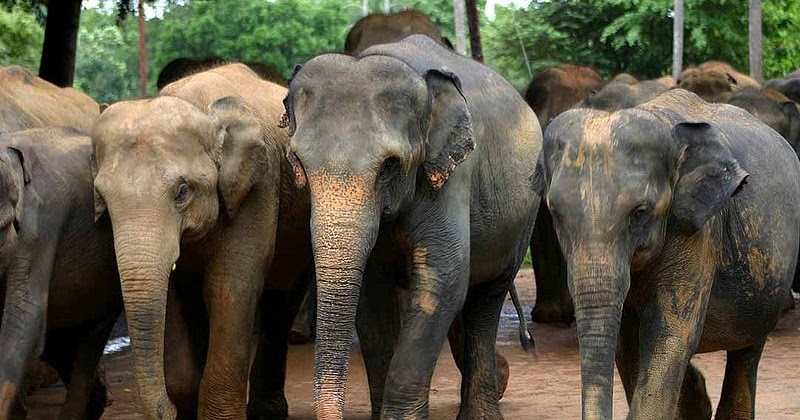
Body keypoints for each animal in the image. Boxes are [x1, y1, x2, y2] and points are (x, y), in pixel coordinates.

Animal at [91, 63, 312, 419]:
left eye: (182, 191)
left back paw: (268, 412)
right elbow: (174, 293)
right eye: (102, 198)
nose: (165, 412)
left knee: (283, 297)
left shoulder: (259, 186)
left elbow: (229, 285)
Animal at [281, 34, 541, 419]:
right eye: (298, 162)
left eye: (390, 165)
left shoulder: (451, 177)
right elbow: (371, 298)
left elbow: (442, 281)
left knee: (486, 300)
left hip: (524, 217)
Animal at [533, 88, 800, 419]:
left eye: (639, 213)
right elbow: (627, 343)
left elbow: (670, 332)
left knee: (746, 350)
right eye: (555, 213)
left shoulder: (699, 228)